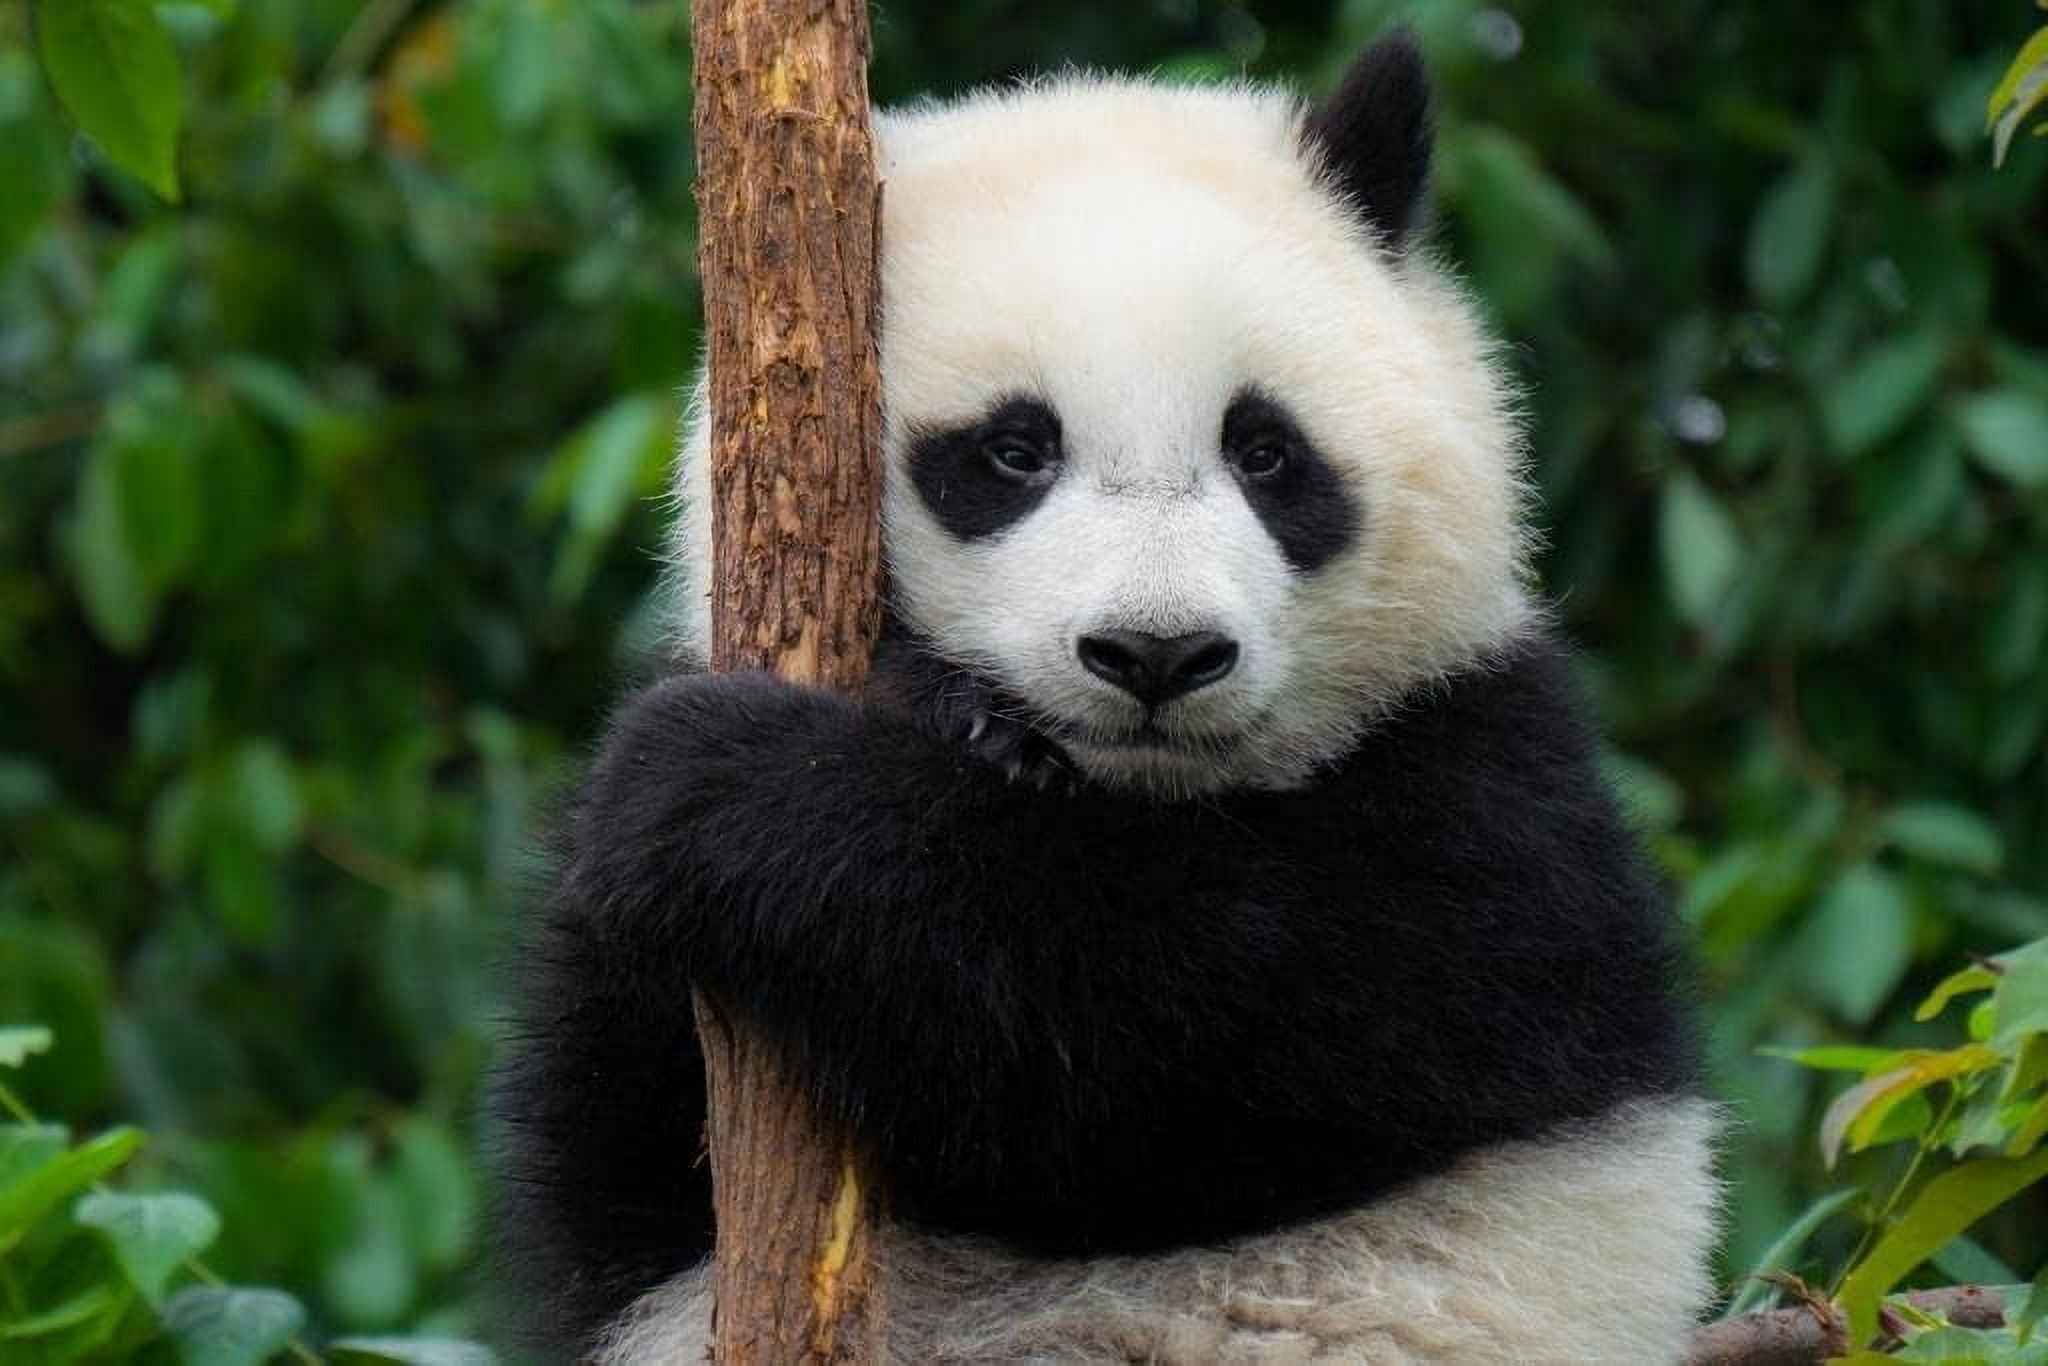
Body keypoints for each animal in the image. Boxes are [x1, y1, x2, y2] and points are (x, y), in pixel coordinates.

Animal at [495, 32, 1719, 1366]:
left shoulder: (1485, 786)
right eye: (1012, 451)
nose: (1155, 654)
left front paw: (731, 785)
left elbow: (1185, 1040)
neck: (1138, 798)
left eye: (1265, 452)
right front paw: (950, 711)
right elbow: (614, 1152)